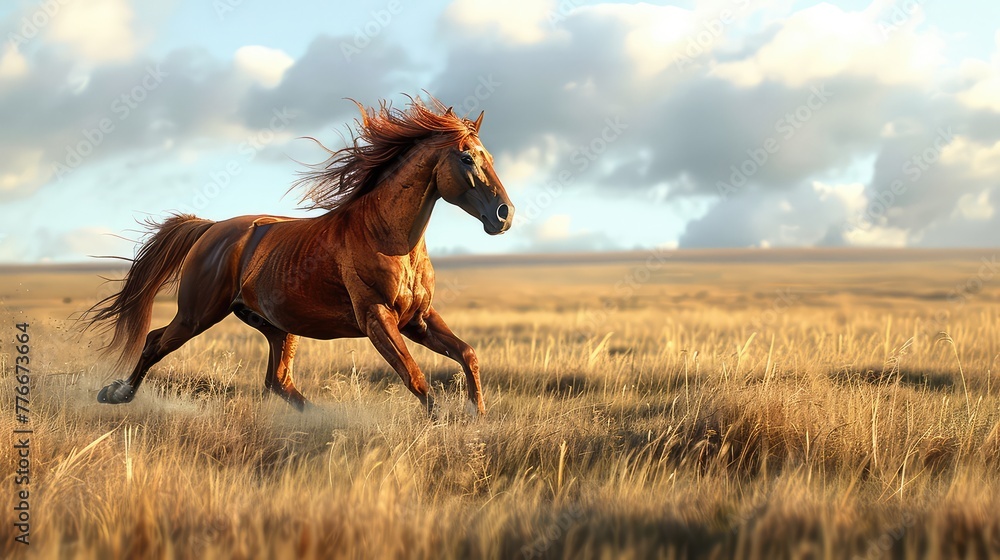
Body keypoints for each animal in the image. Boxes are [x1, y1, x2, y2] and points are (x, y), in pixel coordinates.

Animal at [84, 97, 514, 416]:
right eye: (466, 158)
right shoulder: (377, 317)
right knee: (155, 341)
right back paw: (115, 393)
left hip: (275, 324)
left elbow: (467, 354)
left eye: (489, 156)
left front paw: (478, 416)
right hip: (198, 313)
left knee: (279, 380)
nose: (504, 215)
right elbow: (414, 376)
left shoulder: (417, 319)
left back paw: (321, 417)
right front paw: (442, 423)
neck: (386, 237)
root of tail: (211, 228)